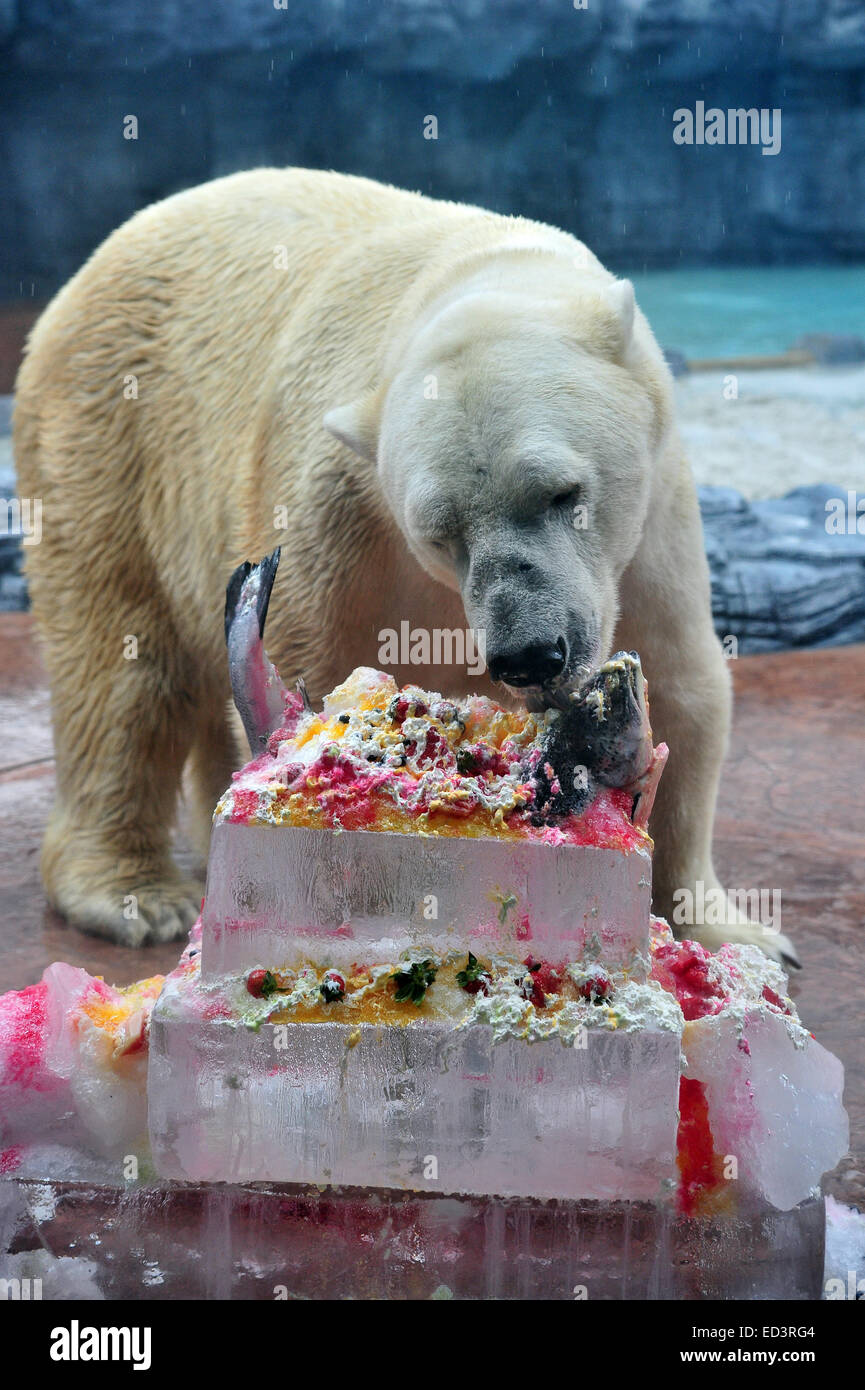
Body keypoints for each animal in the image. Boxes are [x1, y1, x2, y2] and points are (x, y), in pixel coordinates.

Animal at [13, 167, 796, 964]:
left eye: (563, 492)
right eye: (439, 530)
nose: (529, 653)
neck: (472, 269)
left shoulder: (651, 523)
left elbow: (683, 683)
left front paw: (739, 931)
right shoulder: (340, 516)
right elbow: (322, 674)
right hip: (115, 428)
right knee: (120, 663)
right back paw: (134, 895)